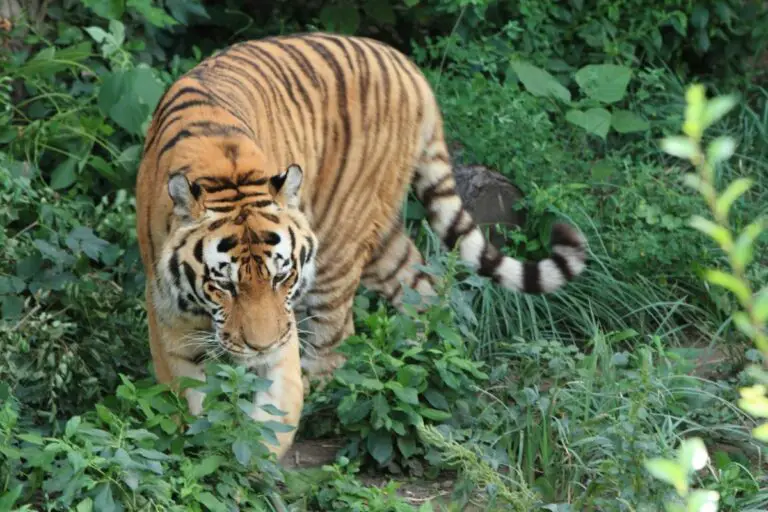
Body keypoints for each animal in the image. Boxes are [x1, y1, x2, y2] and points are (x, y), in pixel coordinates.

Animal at [135, 32, 588, 460]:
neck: (225, 174)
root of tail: (407, 66)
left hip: (338, 243)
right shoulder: (171, 323)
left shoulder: (282, 328)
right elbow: (195, 406)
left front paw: (256, 461)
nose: (260, 346)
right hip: (383, 238)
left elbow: (275, 412)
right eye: (224, 285)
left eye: (281, 277)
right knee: (422, 290)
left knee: (334, 343)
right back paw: (424, 364)